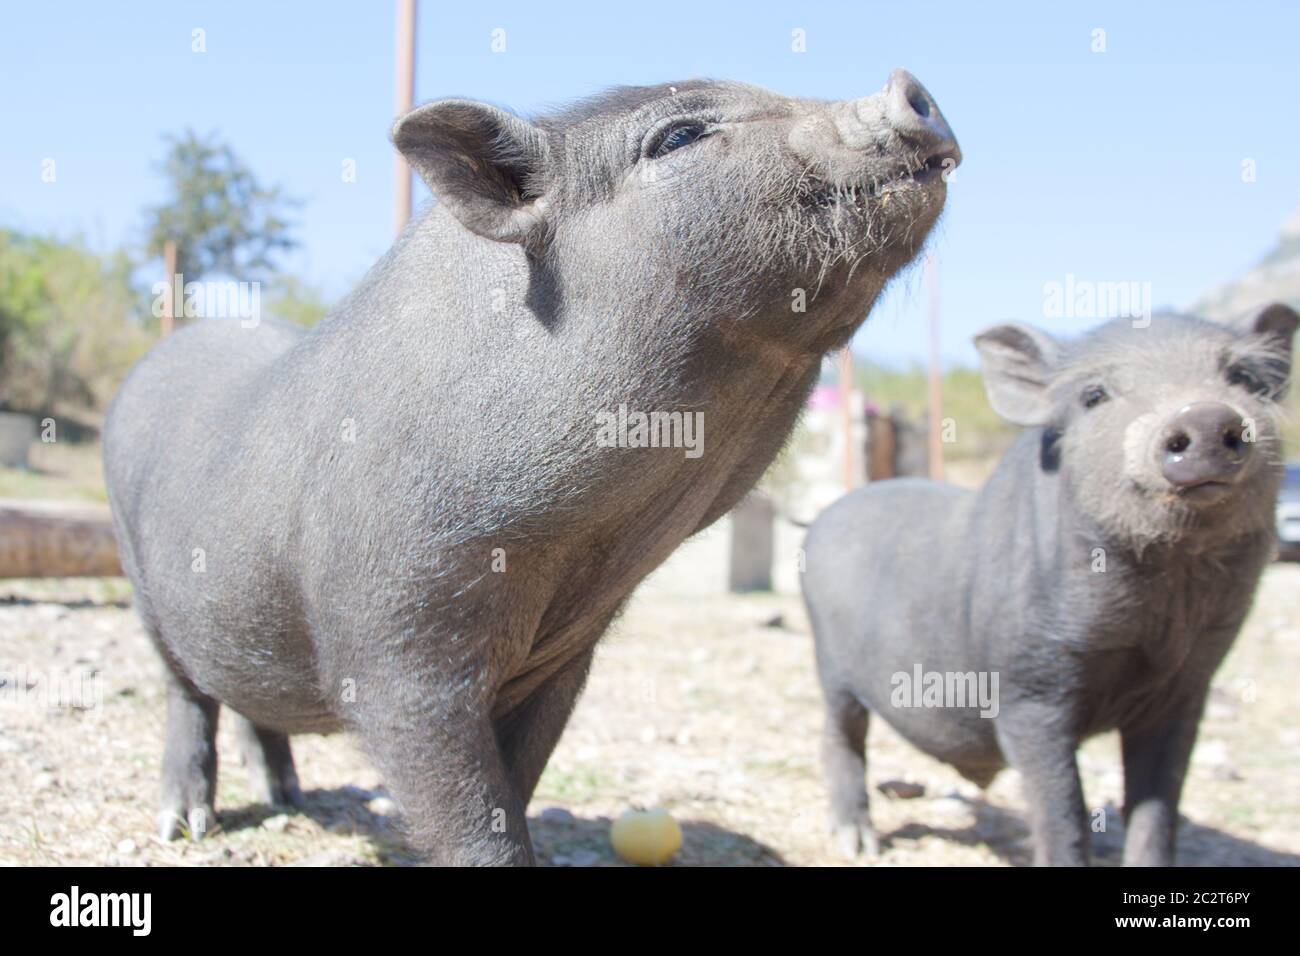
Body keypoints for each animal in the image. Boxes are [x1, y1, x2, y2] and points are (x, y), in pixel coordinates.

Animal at [103, 71, 960, 865]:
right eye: (678, 136)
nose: (909, 85)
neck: (571, 556)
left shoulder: (564, 660)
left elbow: (517, 781)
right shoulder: (392, 644)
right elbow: (466, 812)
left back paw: (287, 794)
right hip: (141, 581)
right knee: (186, 694)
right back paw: (184, 825)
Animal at [802, 304, 1298, 866]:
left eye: (1242, 379)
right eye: (1094, 395)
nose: (1204, 414)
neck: (1159, 619)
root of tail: (821, 520)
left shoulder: (1188, 686)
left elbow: (1158, 810)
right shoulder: (1027, 689)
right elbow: (1062, 811)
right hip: (830, 665)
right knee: (840, 735)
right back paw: (857, 845)